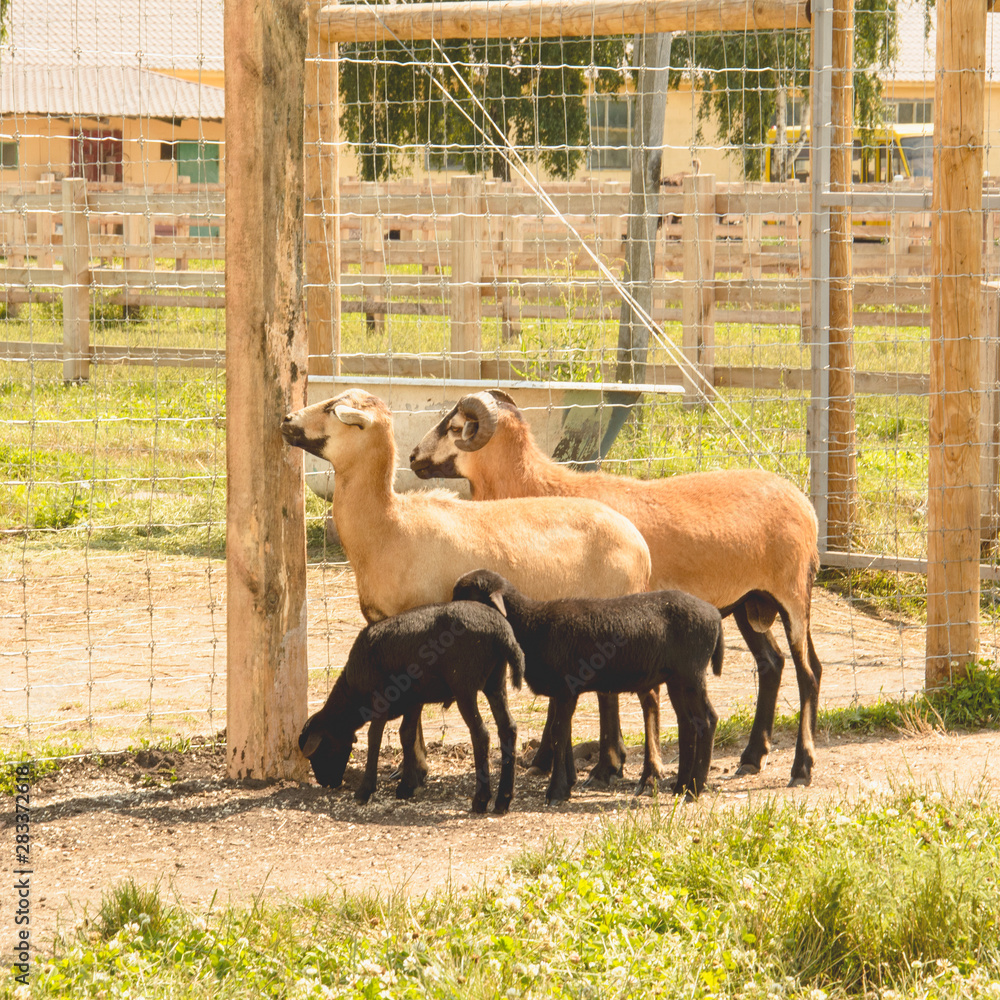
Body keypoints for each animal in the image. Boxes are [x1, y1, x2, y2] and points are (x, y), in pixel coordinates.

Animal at [280, 388, 652, 788]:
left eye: (333, 409)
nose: (286, 420)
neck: (388, 525)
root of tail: (640, 544)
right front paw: (410, 768)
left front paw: (414, 770)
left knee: (610, 690)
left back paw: (607, 766)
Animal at [299, 601, 525, 814]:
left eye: (320, 751)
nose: (327, 783)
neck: (352, 695)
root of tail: (502, 634)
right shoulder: (414, 700)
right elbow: (406, 735)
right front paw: (407, 786)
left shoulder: (380, 698)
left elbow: (374, 738)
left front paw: (365, 790)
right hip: (496, 681)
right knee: (508, 728)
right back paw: (503, 800)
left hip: (463, 685)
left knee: (481, 735)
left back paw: (481, 800)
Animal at [452, 569, 723, 804]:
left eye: (465, 596)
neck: (532, 625)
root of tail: (715, 615)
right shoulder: (564, 691)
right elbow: (563, 733)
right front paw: (567, 784)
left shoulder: (565, 687)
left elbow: (558, 733)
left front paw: (556, 791)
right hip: (677, 678)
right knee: (688, 723)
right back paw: (681, 786)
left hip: (691, 673)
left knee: (707, 719)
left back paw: (694, 789)